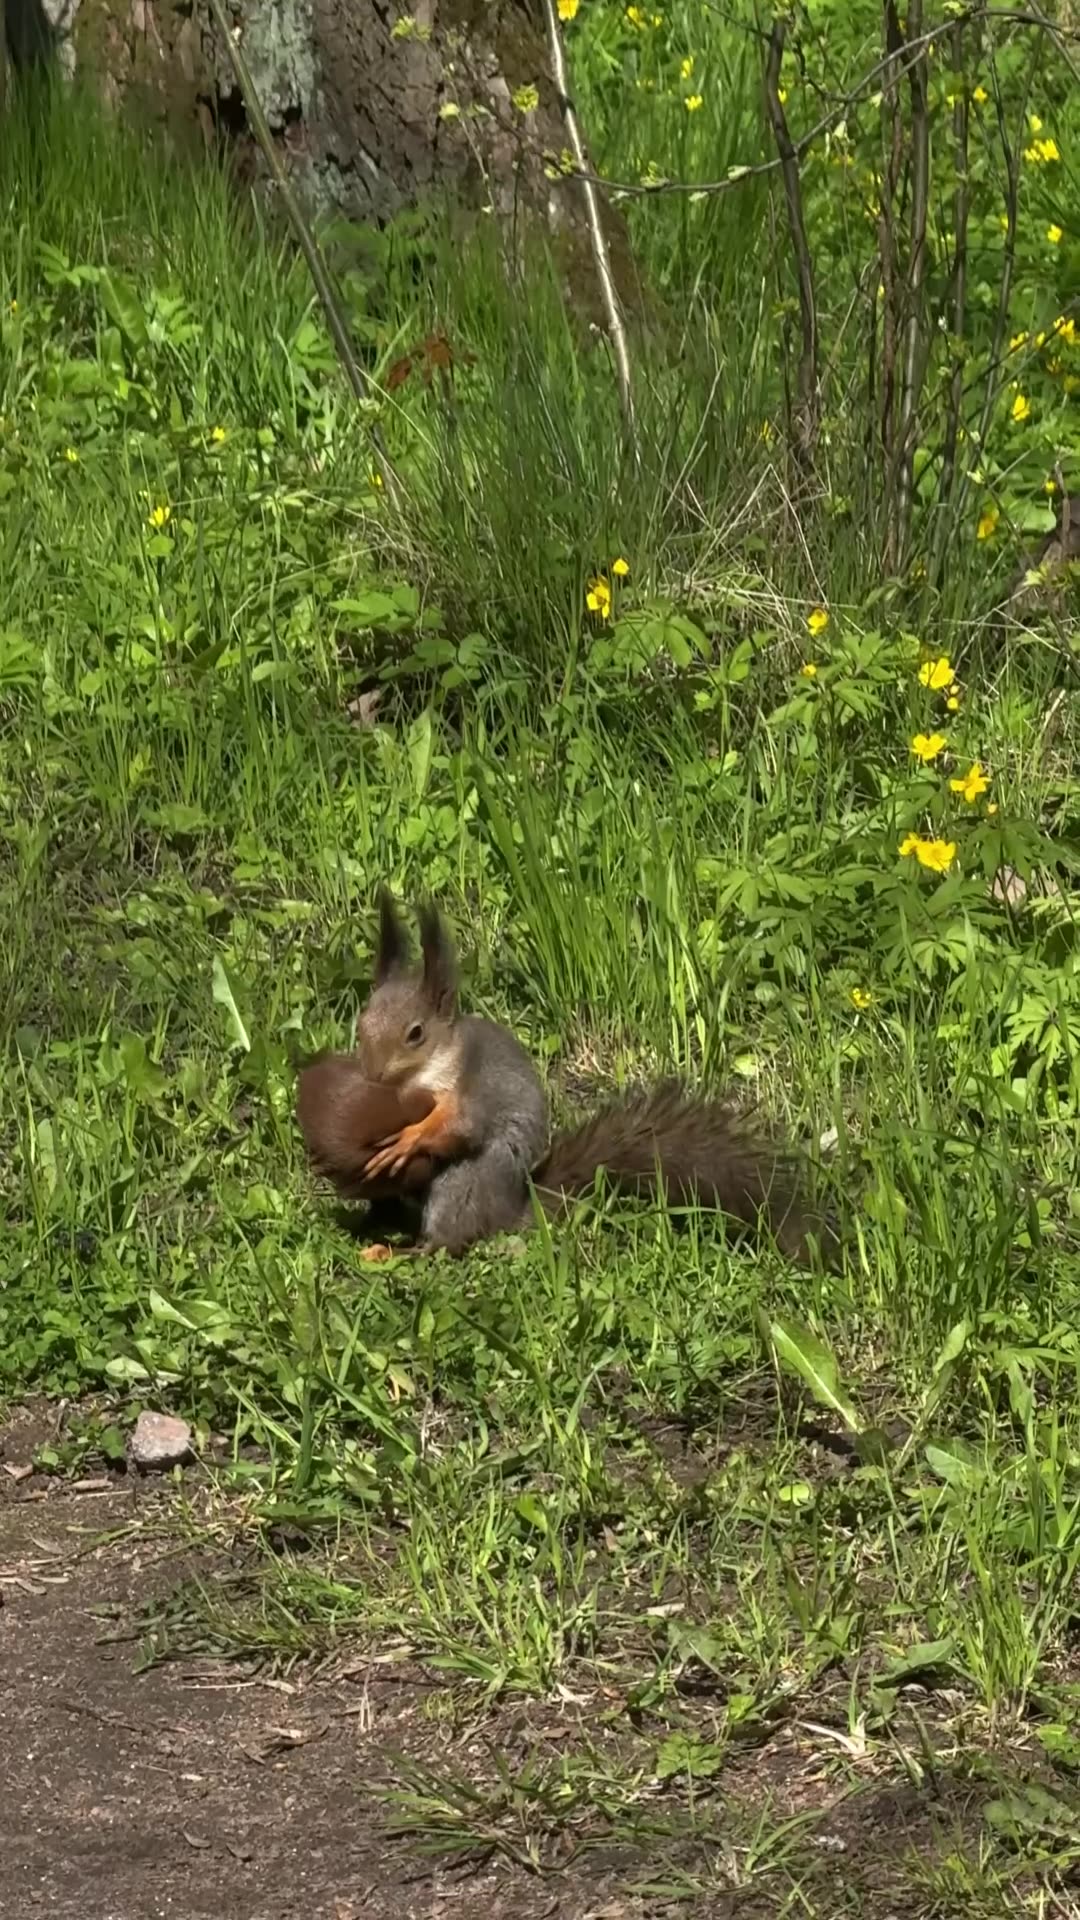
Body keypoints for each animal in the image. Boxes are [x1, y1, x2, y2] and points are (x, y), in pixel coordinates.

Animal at [295, 891, 830, 1265]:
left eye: (415, 1033)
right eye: (362, 1022)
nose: (371, 1073)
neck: (422, 1074)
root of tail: (511, 1210)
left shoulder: (472, 1088)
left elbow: (459, 1128)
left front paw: (409, 1138)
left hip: (460, 1186)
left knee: (447, 1239)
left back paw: (407, 1249)